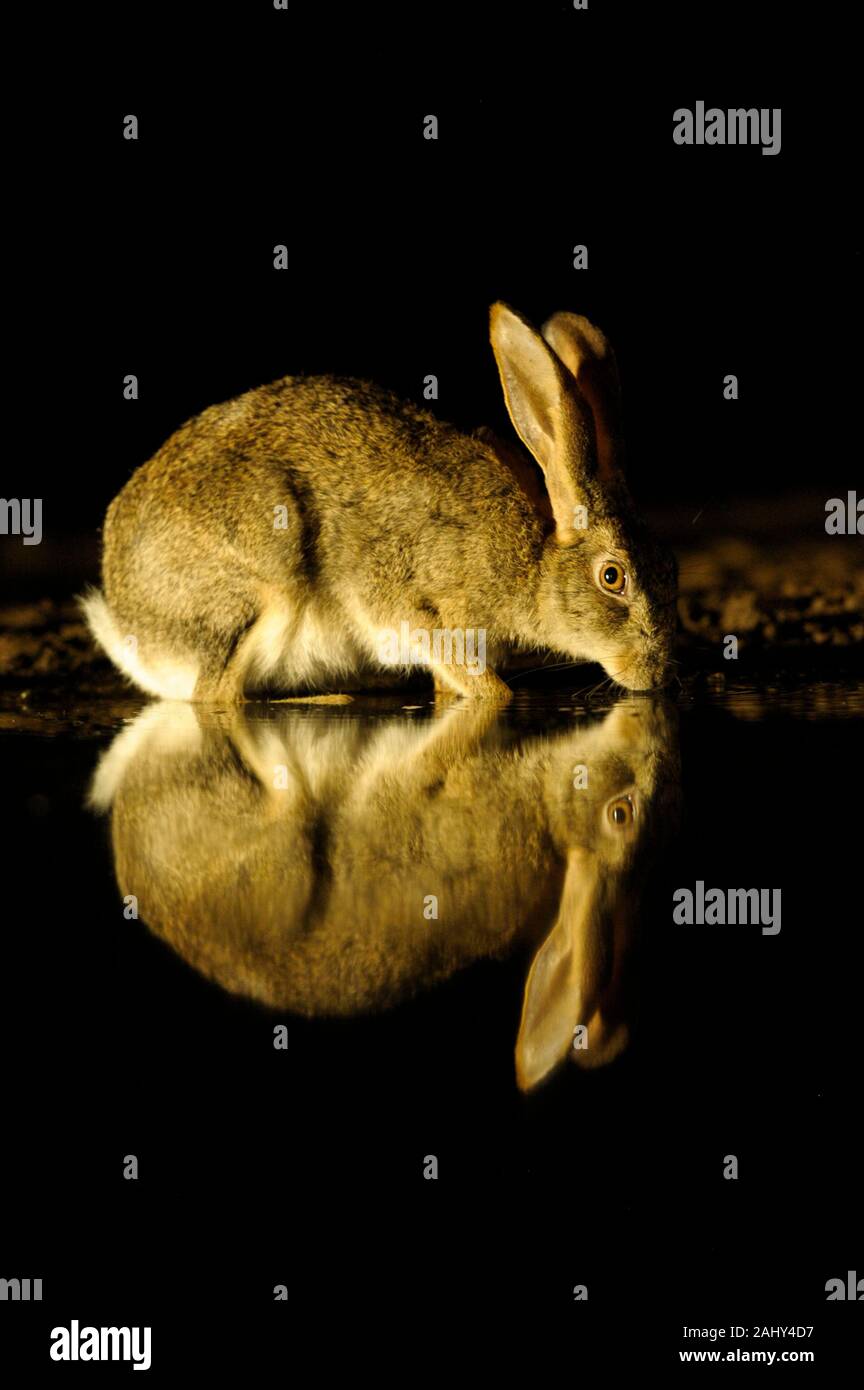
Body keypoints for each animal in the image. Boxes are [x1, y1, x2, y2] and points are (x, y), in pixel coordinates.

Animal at [82, 304, 678, 703]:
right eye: (612, 577)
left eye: (670, 565)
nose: (658, 674)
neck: (532, 558)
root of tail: (129, 621)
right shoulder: (415, 603)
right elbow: (488, 691)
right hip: (261, 582)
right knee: (217, 693)